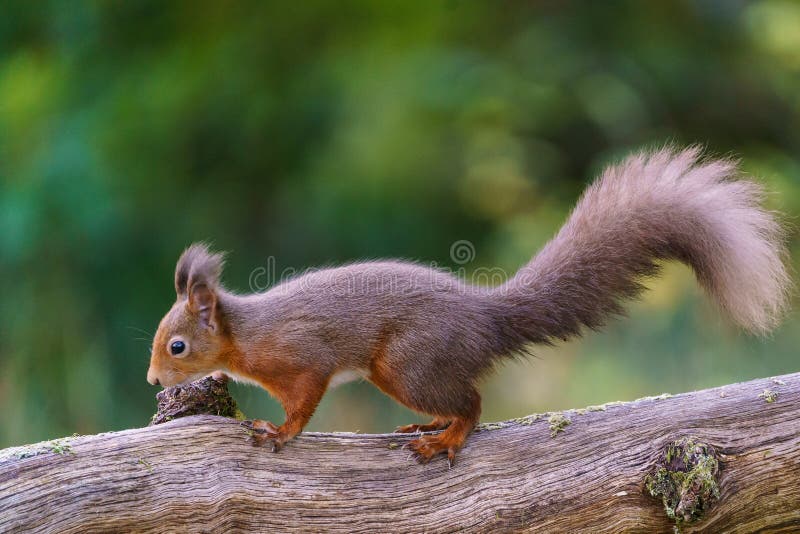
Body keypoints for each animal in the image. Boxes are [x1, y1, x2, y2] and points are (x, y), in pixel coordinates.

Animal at [146, 147, 791, 464]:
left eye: (177, 345)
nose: (153, 380)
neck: (245, 336)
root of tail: (485, 318)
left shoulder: (303, 360)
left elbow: (304, 402)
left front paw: (279, 432)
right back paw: (431, 425)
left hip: (406, 364)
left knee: (474, 403)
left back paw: (445, 440)